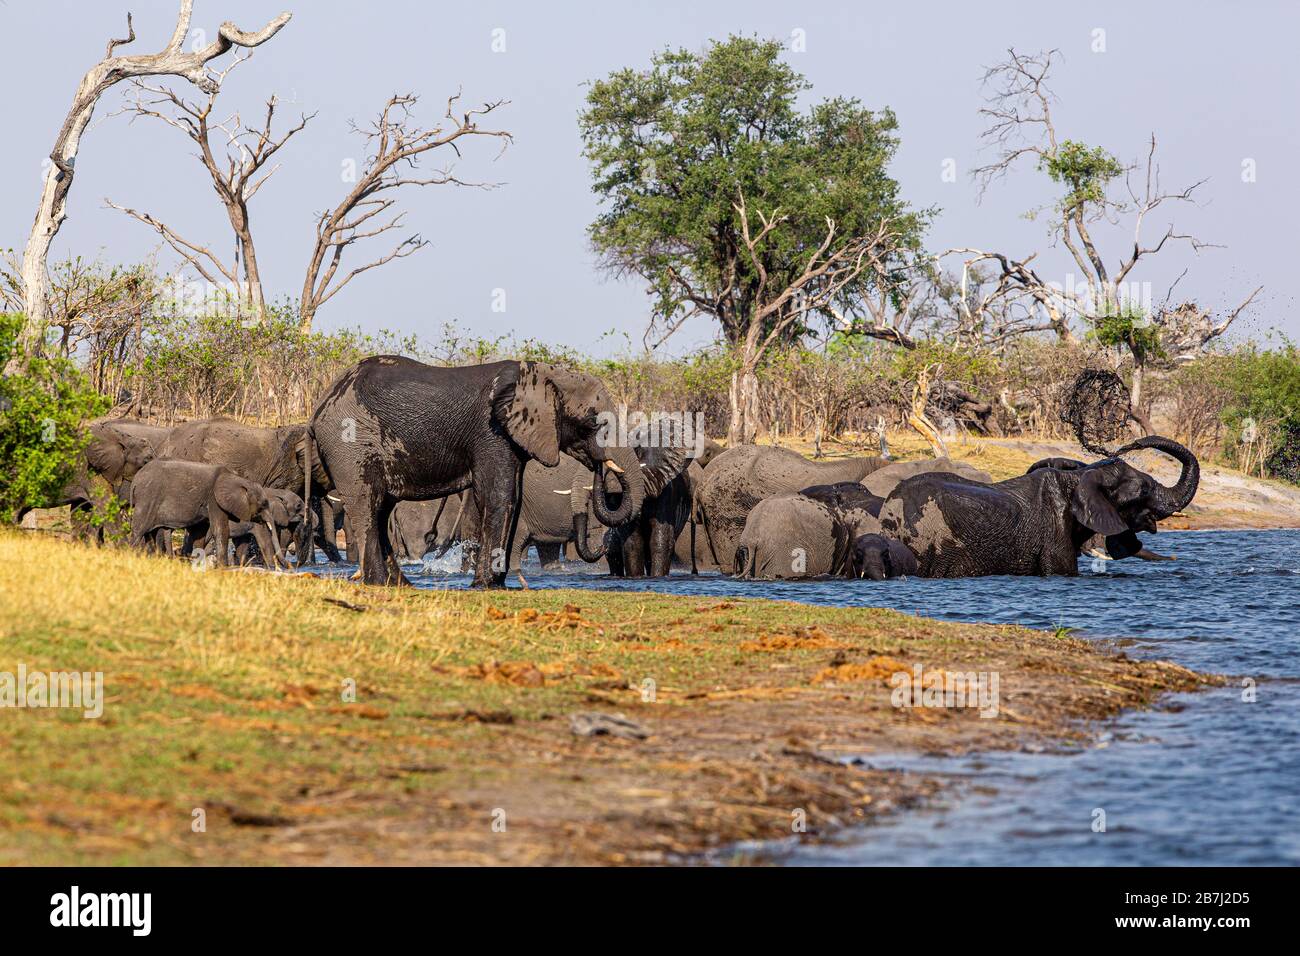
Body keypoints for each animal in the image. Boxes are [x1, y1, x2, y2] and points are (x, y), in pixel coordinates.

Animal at [129, 460, 297, 568]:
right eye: (262, 505)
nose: (290, 566)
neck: (239, 479)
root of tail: (135, 480)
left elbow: (200, 532)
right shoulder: (214, 498)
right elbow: (220, 530)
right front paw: (223, 568)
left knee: (150, 534)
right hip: (147, 499)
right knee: (139, 530)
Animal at [301, 357, 673, 587]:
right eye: (593, 421)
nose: (600, 464)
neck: (543, 373)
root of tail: (318, 409)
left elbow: (514, 497)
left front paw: (495, 583)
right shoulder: (491, 433)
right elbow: (500, 496)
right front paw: (487, 585)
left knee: (381, 509)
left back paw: (400, 585)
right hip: (350, 443)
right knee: (366, 505)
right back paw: (381, 583)